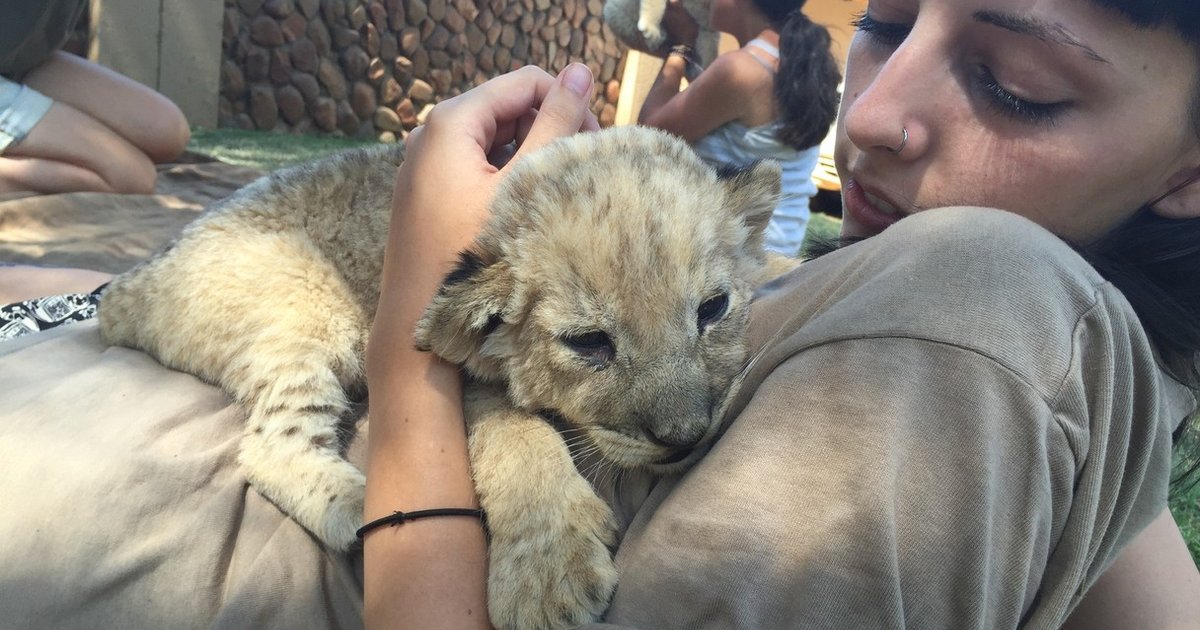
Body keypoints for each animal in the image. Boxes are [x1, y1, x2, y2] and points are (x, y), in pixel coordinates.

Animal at [98, 125, 793, 628]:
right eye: (589, 342)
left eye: (713, 309)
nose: (686, 437)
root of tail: (130, 286)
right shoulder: (464, 373)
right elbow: (517, 435)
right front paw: (548, 575)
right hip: (308, 312)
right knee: (268, 447)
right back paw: (360, 506)